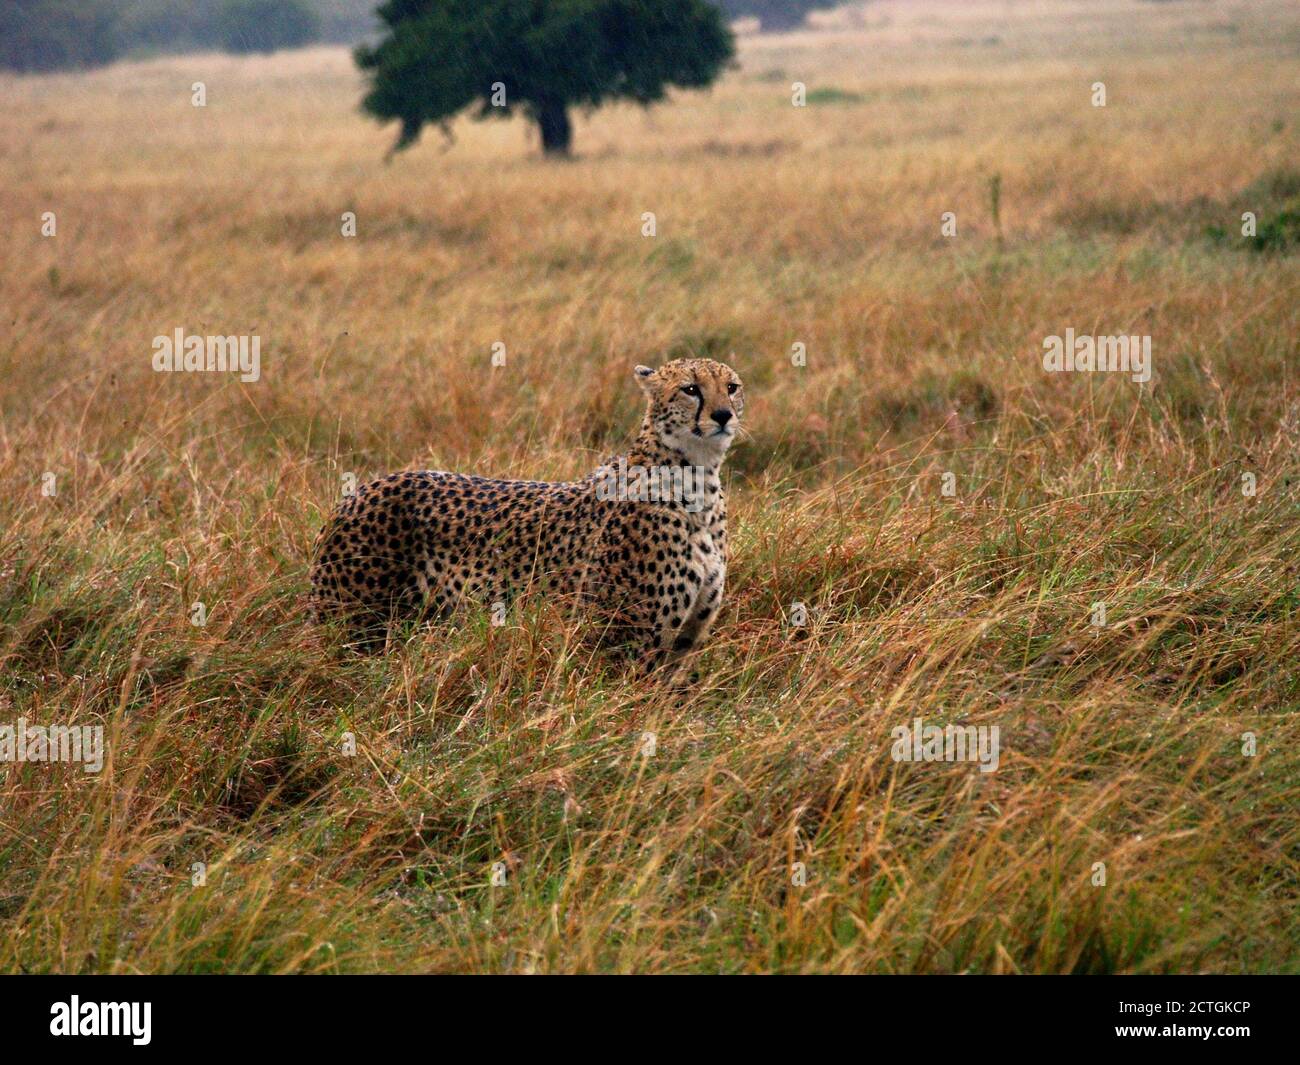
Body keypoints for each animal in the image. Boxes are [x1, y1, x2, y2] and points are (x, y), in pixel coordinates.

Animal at [309, 357, 744, 674]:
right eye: (691, 389)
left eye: (732, 387)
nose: (724, 415)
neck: (698, 479)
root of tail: (360, 490)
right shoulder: (629, 646)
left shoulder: (681, 645)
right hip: (350, 627)